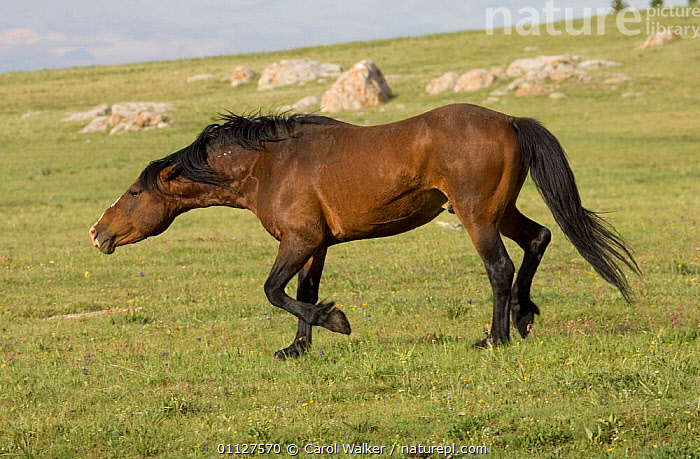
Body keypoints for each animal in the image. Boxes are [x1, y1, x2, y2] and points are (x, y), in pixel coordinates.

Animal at [89, 104, 639, 360]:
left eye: (134, 193)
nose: (97, 233)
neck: (270, 165)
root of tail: (508, 119)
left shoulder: (299, 241)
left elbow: (273, 291)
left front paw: (336, 322)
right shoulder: (316, 245)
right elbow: (302, 293)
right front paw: (298, 348)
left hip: (477, 217)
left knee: (500, 268)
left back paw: (495, 338)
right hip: (500, 211)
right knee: (538, 239)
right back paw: (525, 316)